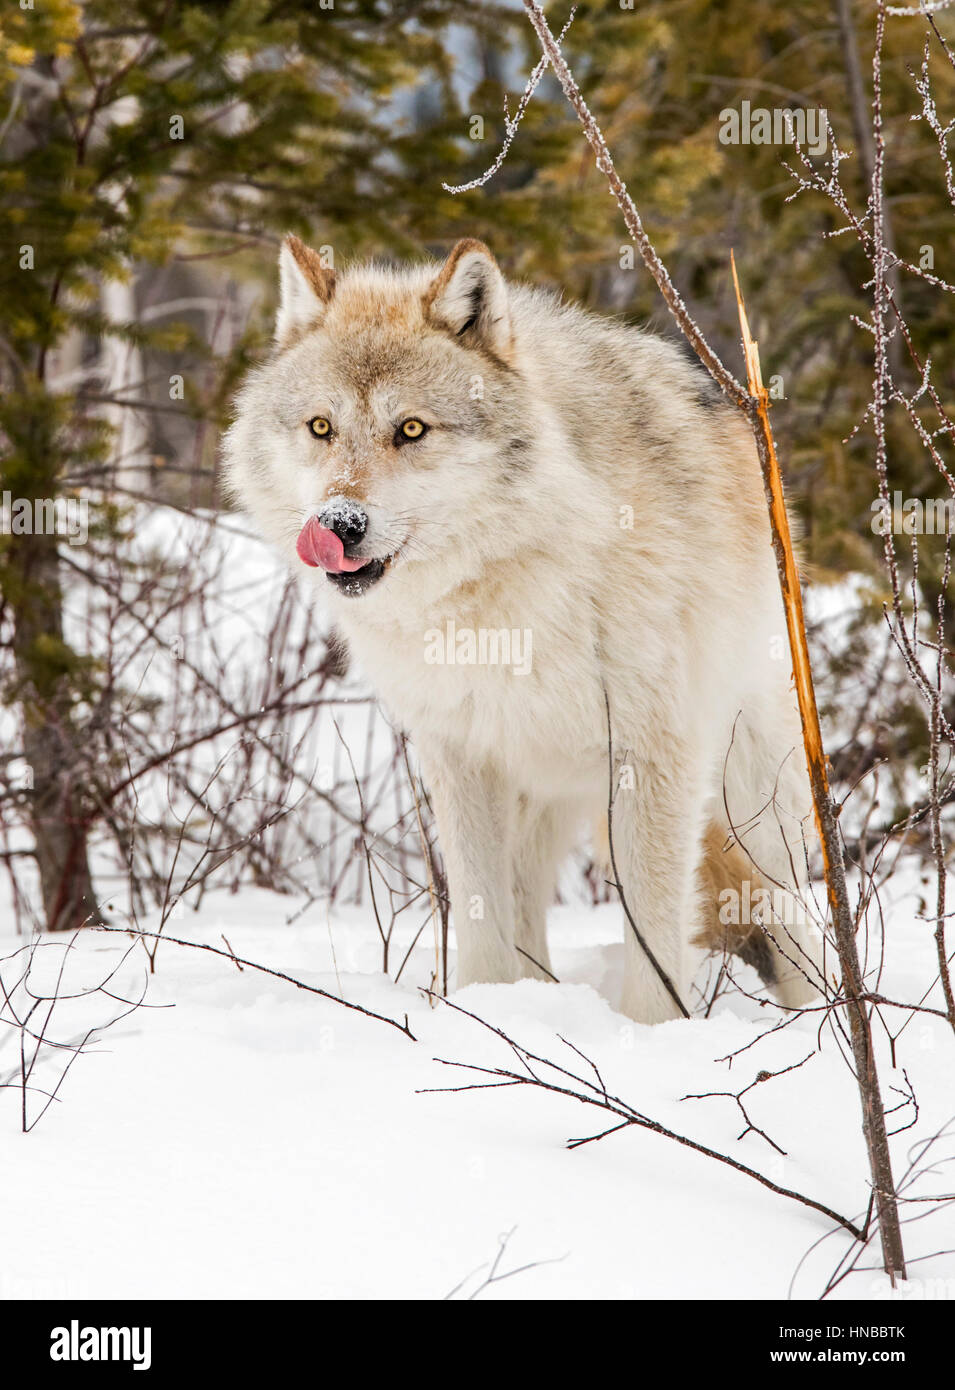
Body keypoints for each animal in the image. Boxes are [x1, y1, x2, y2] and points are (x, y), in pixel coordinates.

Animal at [224, 234, 827, 1022]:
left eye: (410, 429)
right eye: (321, 428)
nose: (338, 524)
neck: (494, 596)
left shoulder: (654, 756)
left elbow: (656, 935)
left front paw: (651, 1032)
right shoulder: (460, 755)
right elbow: (481, 917)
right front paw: (479, 1014)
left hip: (750, 792)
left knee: (787, 911)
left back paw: (824, 1017)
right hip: (542, 791)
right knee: (529, 908)